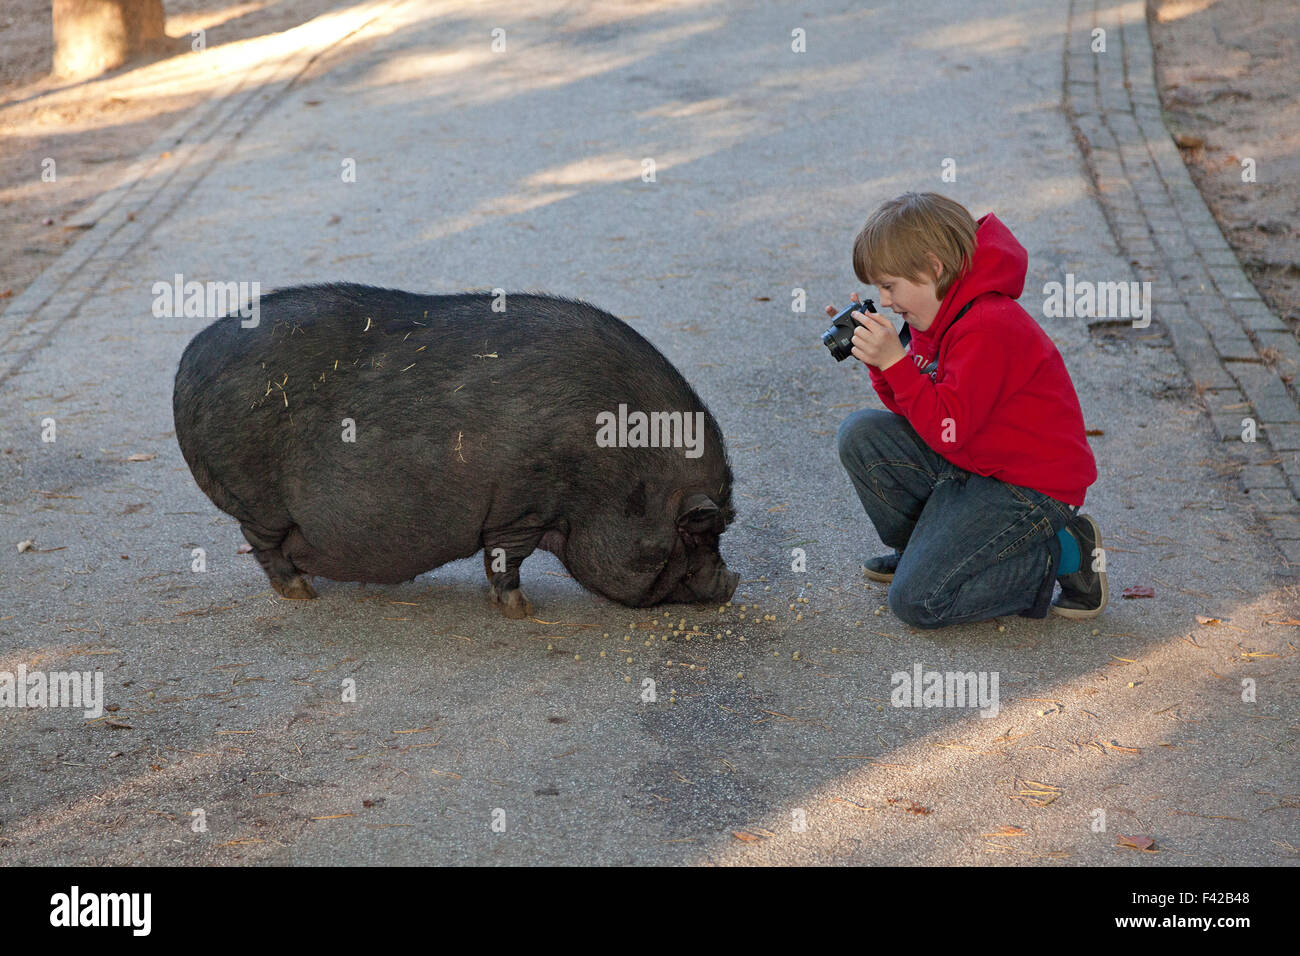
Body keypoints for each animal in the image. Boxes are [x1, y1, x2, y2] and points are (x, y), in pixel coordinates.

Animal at [172, 283, 739, 617]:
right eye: (697, 531)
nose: (733, 582)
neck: (613, 471)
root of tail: (186, 361)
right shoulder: (522, 507)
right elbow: (506, 557)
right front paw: (522, 611)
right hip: (255, 498)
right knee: (261, 542)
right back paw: (301, 593)